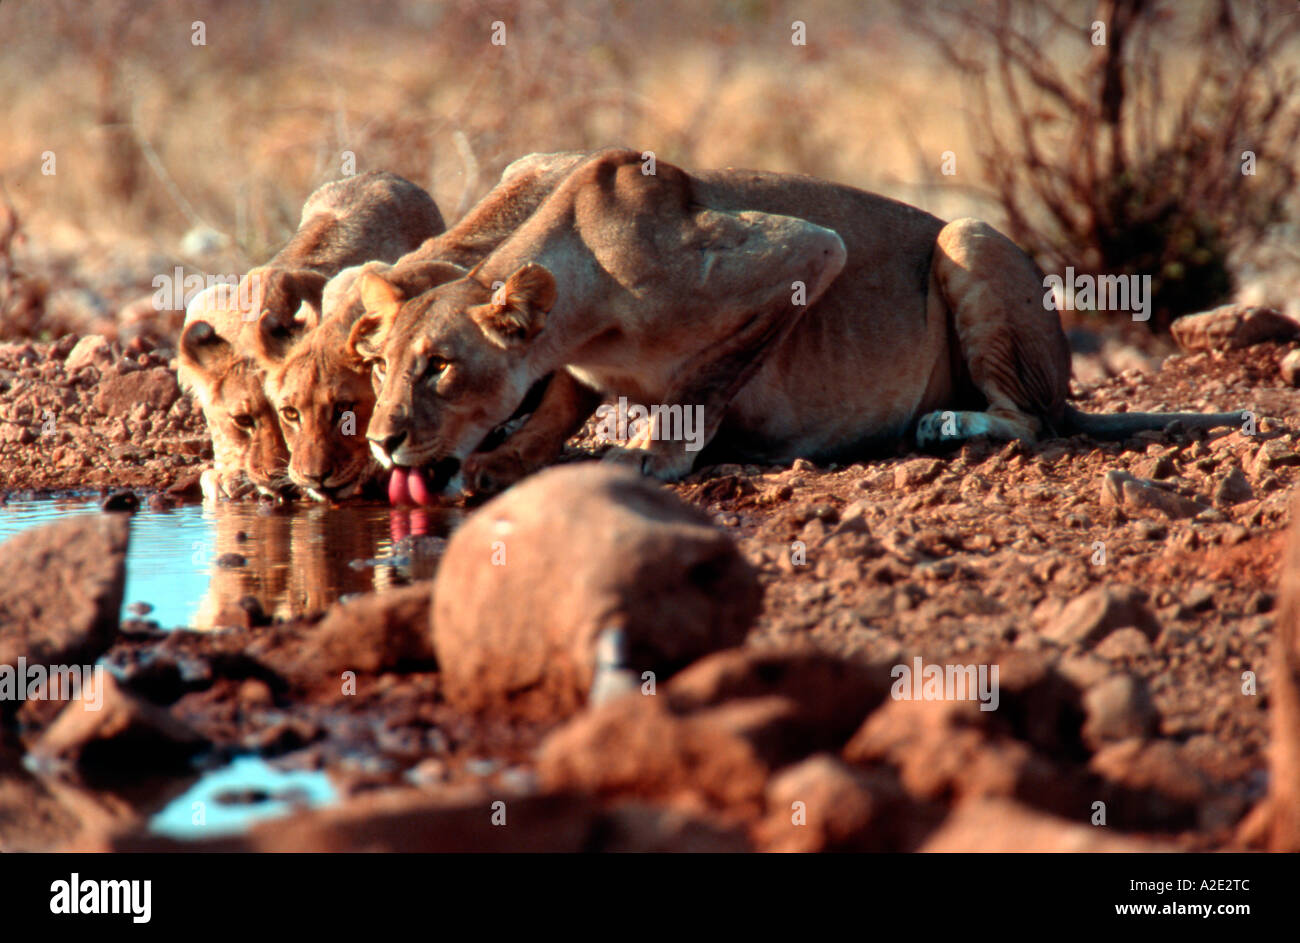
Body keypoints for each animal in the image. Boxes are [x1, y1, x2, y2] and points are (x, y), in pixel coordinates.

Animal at [177, 170, 444, 499]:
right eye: (243, 420)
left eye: (286, 416)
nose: (273, 477)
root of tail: (381, 174)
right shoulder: (206, 302)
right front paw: (225, 476)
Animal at [348, 147, 1243, 498]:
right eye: (380, 365)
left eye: (438, 365)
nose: (382, 441)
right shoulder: (570, 363)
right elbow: (559, 402)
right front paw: (508, 459)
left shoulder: (801, 253)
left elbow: (704, 383)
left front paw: (652, 456)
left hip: (967, 238)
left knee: (1032, 420)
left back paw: (946, 422)